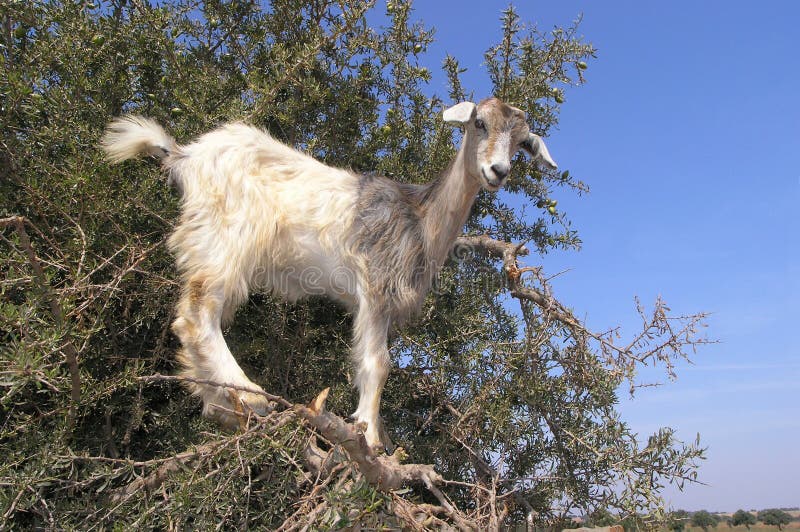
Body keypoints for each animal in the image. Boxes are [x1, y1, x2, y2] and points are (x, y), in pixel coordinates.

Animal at [101, 97, 557, 449]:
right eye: (479, 123)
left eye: (522, 143)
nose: (498, 171)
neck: (420, 218)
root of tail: (184, 157)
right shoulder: (374, 289)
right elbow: (377, 363)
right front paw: (369, 436)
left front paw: (380, 438)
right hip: (225, 237)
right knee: (197, 313)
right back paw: (250, 395)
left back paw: (216, 398)